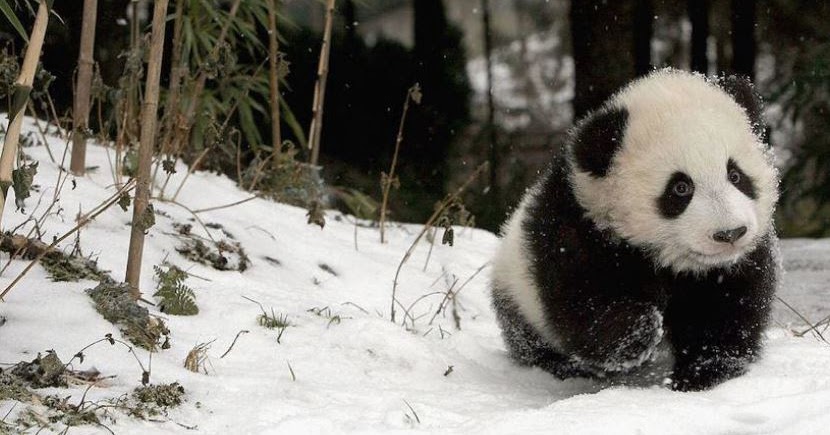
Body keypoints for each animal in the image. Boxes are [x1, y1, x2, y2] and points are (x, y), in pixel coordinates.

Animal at [490, 68, 779, 392]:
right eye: (680, 188)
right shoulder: (576, 230)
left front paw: (706, 372)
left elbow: (727, 308)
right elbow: (581, 303)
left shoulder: (735, 263)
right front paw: (638, 333)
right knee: (530, 341)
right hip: (516, 294)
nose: (730, 234)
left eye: (736, 175)